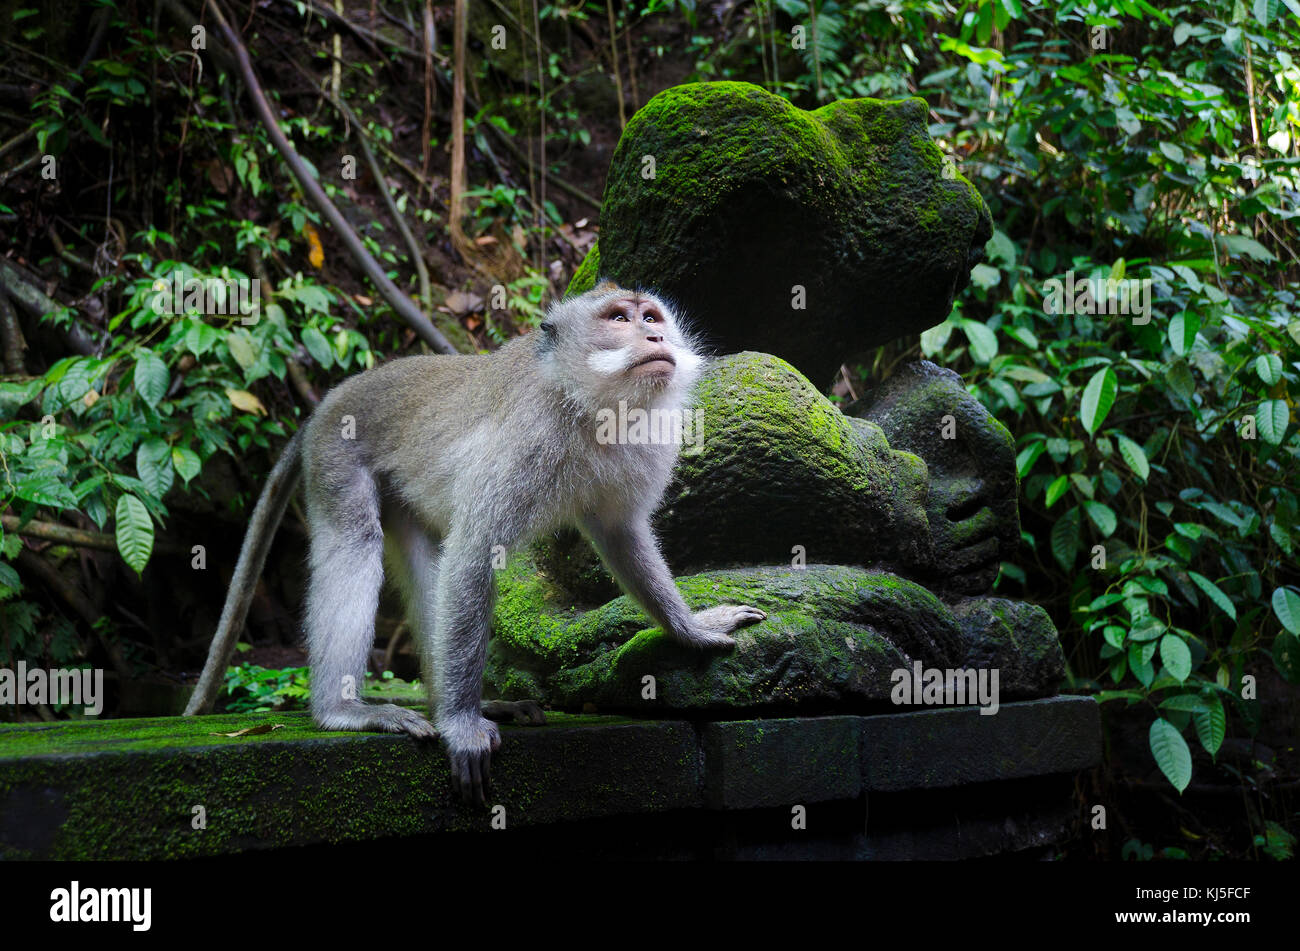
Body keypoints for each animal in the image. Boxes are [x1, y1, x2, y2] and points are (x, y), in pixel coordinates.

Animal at [184, 282, 766, 804]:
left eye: (651, 316)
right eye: (620, 319)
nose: (655, 336)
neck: (587, 404)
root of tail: (331, 398)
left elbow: (620, 535)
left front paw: (690, 630)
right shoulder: (526, 444)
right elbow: (474, 553)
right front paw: (462, 728)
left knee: (423, 561)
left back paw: (459, 703)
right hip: (335, 454)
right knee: (356, 543)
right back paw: (346, 712)